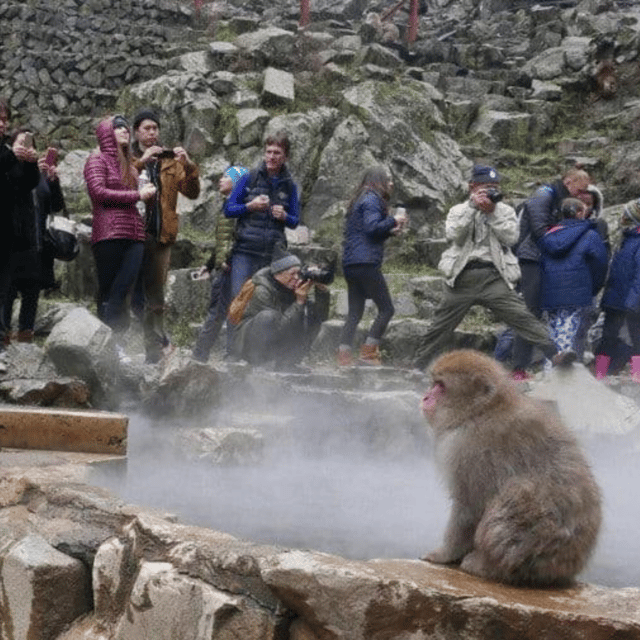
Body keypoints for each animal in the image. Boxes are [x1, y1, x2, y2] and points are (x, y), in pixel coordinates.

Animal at [420, 349, 602, 587]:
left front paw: (444, 554)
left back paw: (487, 565)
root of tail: (562, 570)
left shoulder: (465, 449)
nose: (425, 397)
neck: (479, 412)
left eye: (440, 386)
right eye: (434, 383)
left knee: (518, 491)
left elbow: (469, 507)